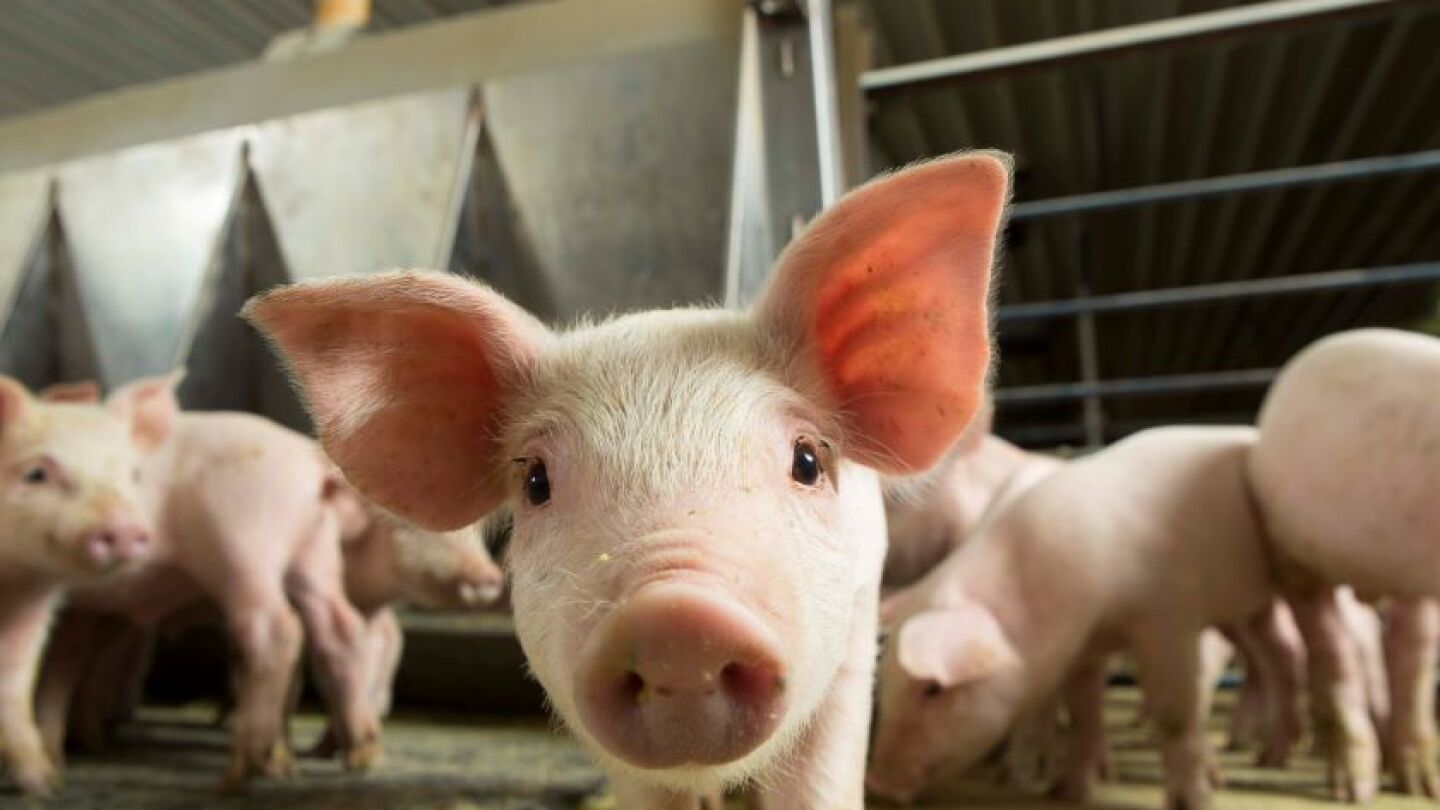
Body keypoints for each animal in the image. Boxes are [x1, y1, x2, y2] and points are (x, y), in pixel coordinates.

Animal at [0, 377, 153, 795]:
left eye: (134, 474)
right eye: (36, 473)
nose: (124, 528)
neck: (11, 581)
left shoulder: (30, 612)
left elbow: (15, 687)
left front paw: (44, 784)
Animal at [36, 375, 382, 788]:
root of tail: (312, 467)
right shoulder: (85, 608)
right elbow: (63, 660)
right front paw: (58, 756)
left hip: (244, 542)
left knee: (274, 627)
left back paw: (246, 770)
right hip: (315, 553)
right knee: (338, 626)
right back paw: (360, 755)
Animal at [867, 426, 1292, 810]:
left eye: (932, 689)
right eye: (885, 685)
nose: (879, 784)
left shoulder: (1166, 617)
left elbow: (1174, 712)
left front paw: (1193, 801)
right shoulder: (1085, 648)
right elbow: (1084, 713)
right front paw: (1066, 792)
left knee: (1280, 656)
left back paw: (1262, 756)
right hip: (1246, 608)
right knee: (1272, 656)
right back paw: (1268, 751)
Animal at [1249, 328, 1440, 801]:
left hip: (1407, 569)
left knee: (1410, 652)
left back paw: (1420, 786)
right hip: (1291, 551)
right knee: (1333, 651)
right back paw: (1352, 790)